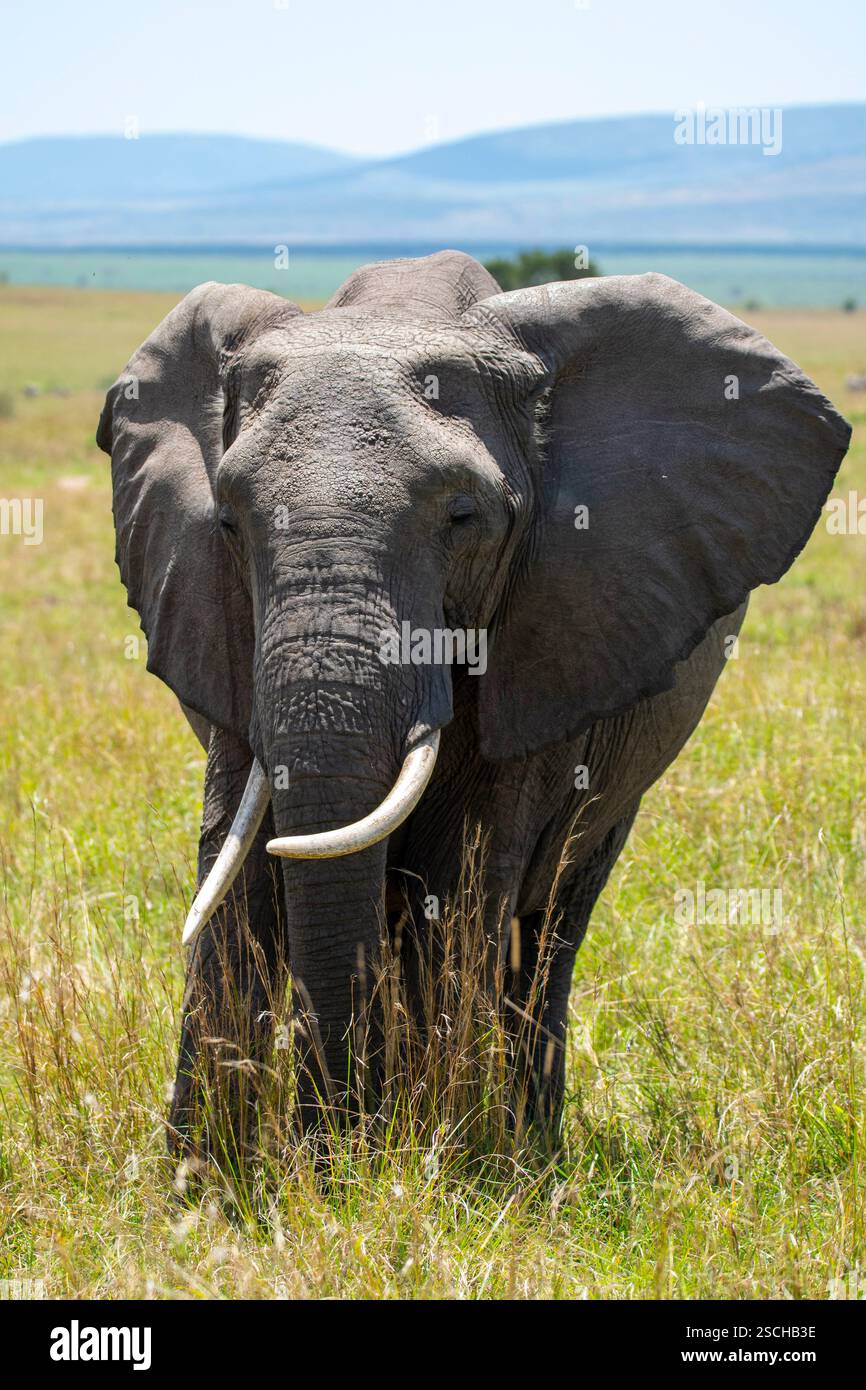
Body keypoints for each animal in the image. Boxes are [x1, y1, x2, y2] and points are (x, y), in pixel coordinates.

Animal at [97, 251, 850, 1158]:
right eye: (230, 523)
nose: (332, 1153)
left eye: (465, 517)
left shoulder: (556, 630)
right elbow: (236, 867)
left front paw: (438, 1158)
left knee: (552, 921)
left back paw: (529, 1147)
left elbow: (461, 879)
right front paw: (207, 1181)